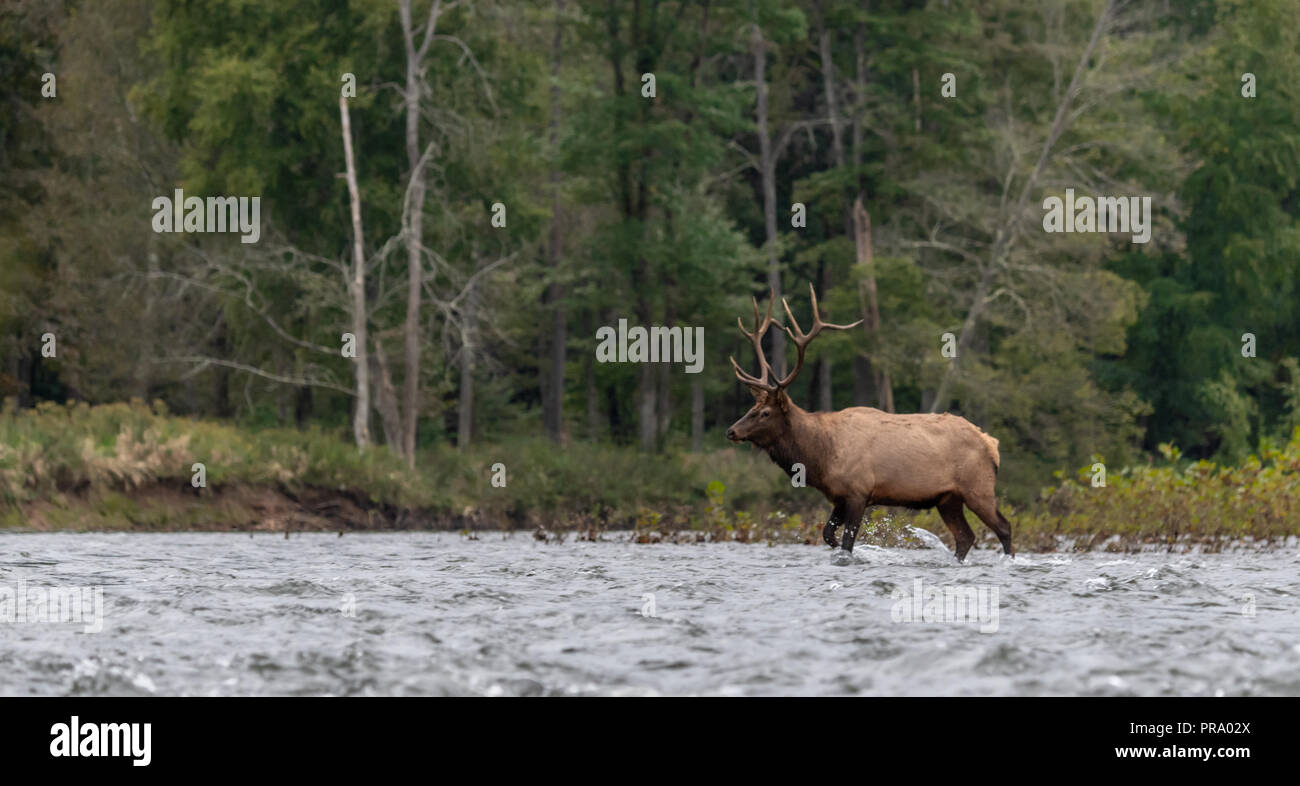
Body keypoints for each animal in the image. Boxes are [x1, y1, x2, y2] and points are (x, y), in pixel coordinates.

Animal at [725, 286, 1014, 561]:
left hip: (978, 488)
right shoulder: (840, 496)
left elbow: (846, 541)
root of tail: (992, 444)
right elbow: (828, 534)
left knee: (1003, 527)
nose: (732, 431)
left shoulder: (859, 491)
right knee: (966, 536)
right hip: (947, 498)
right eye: (752, 407)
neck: (821, 455)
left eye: (765, 413)